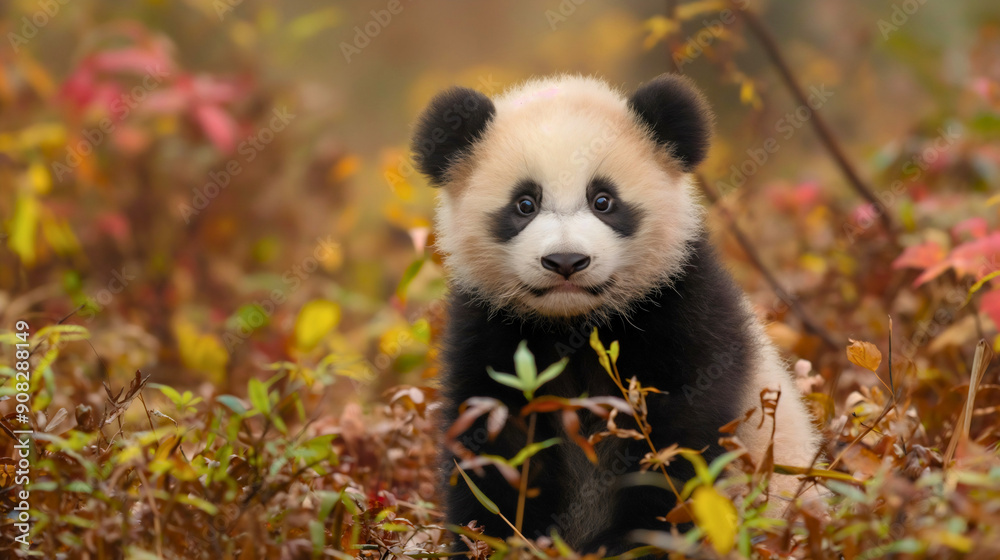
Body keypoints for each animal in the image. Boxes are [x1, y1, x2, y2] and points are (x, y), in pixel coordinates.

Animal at [411, 74, 821, 555]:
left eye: (603, 200)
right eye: (525, 204)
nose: (566, 261)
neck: (573, 323)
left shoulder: (682, 309)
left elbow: (676, 442)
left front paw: (631, 543)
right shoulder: (491, 327)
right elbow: (492, 441)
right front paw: (500, 538)